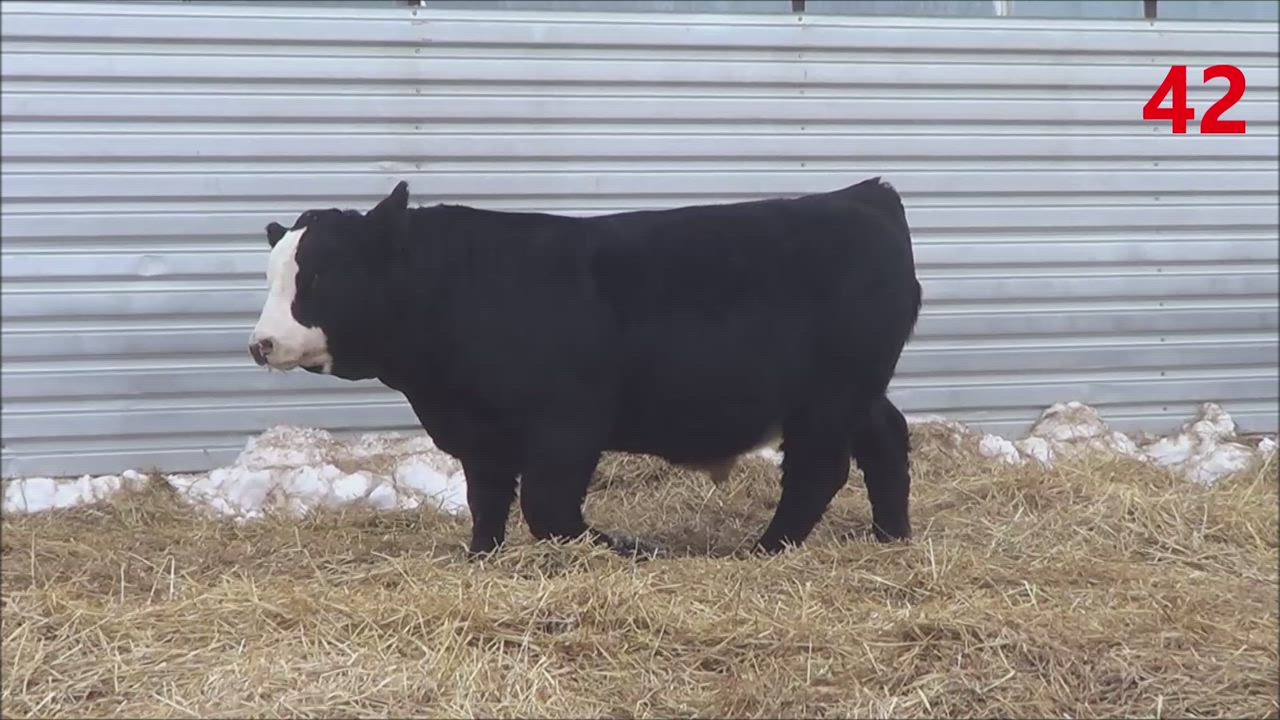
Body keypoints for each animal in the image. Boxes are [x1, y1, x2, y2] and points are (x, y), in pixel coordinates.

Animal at [249, 177, 923, 558]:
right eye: (273, 273)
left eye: (320, 275)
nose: (262, 344)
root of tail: (865, 197)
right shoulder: (480, 432)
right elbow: (487, 501)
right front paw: (480, 560)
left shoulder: (568, 419)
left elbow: (548, 509)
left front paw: (634, 549)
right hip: (859, 393)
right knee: (886, 439)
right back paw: (890, 535)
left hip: (829, 396)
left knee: (818, 470)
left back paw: (765, 550)